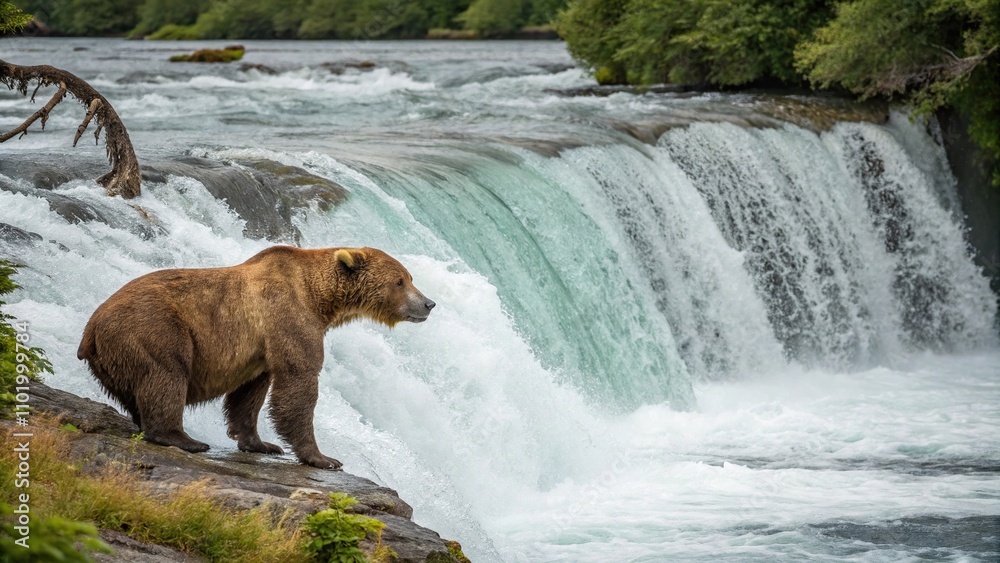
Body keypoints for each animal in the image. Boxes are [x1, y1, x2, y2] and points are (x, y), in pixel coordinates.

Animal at [77, 246, 435, 469]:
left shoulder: (260, 350)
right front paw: (323, 457)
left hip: (116, 359)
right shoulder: (288, 315)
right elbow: (299, 384)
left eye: (410, 277)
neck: (318, 297)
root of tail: (90, 329)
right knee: (165, 376)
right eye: (399, 280)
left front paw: (260, 443)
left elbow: (249, 394)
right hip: (153, 329)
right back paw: (183, 438)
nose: (428, 303)